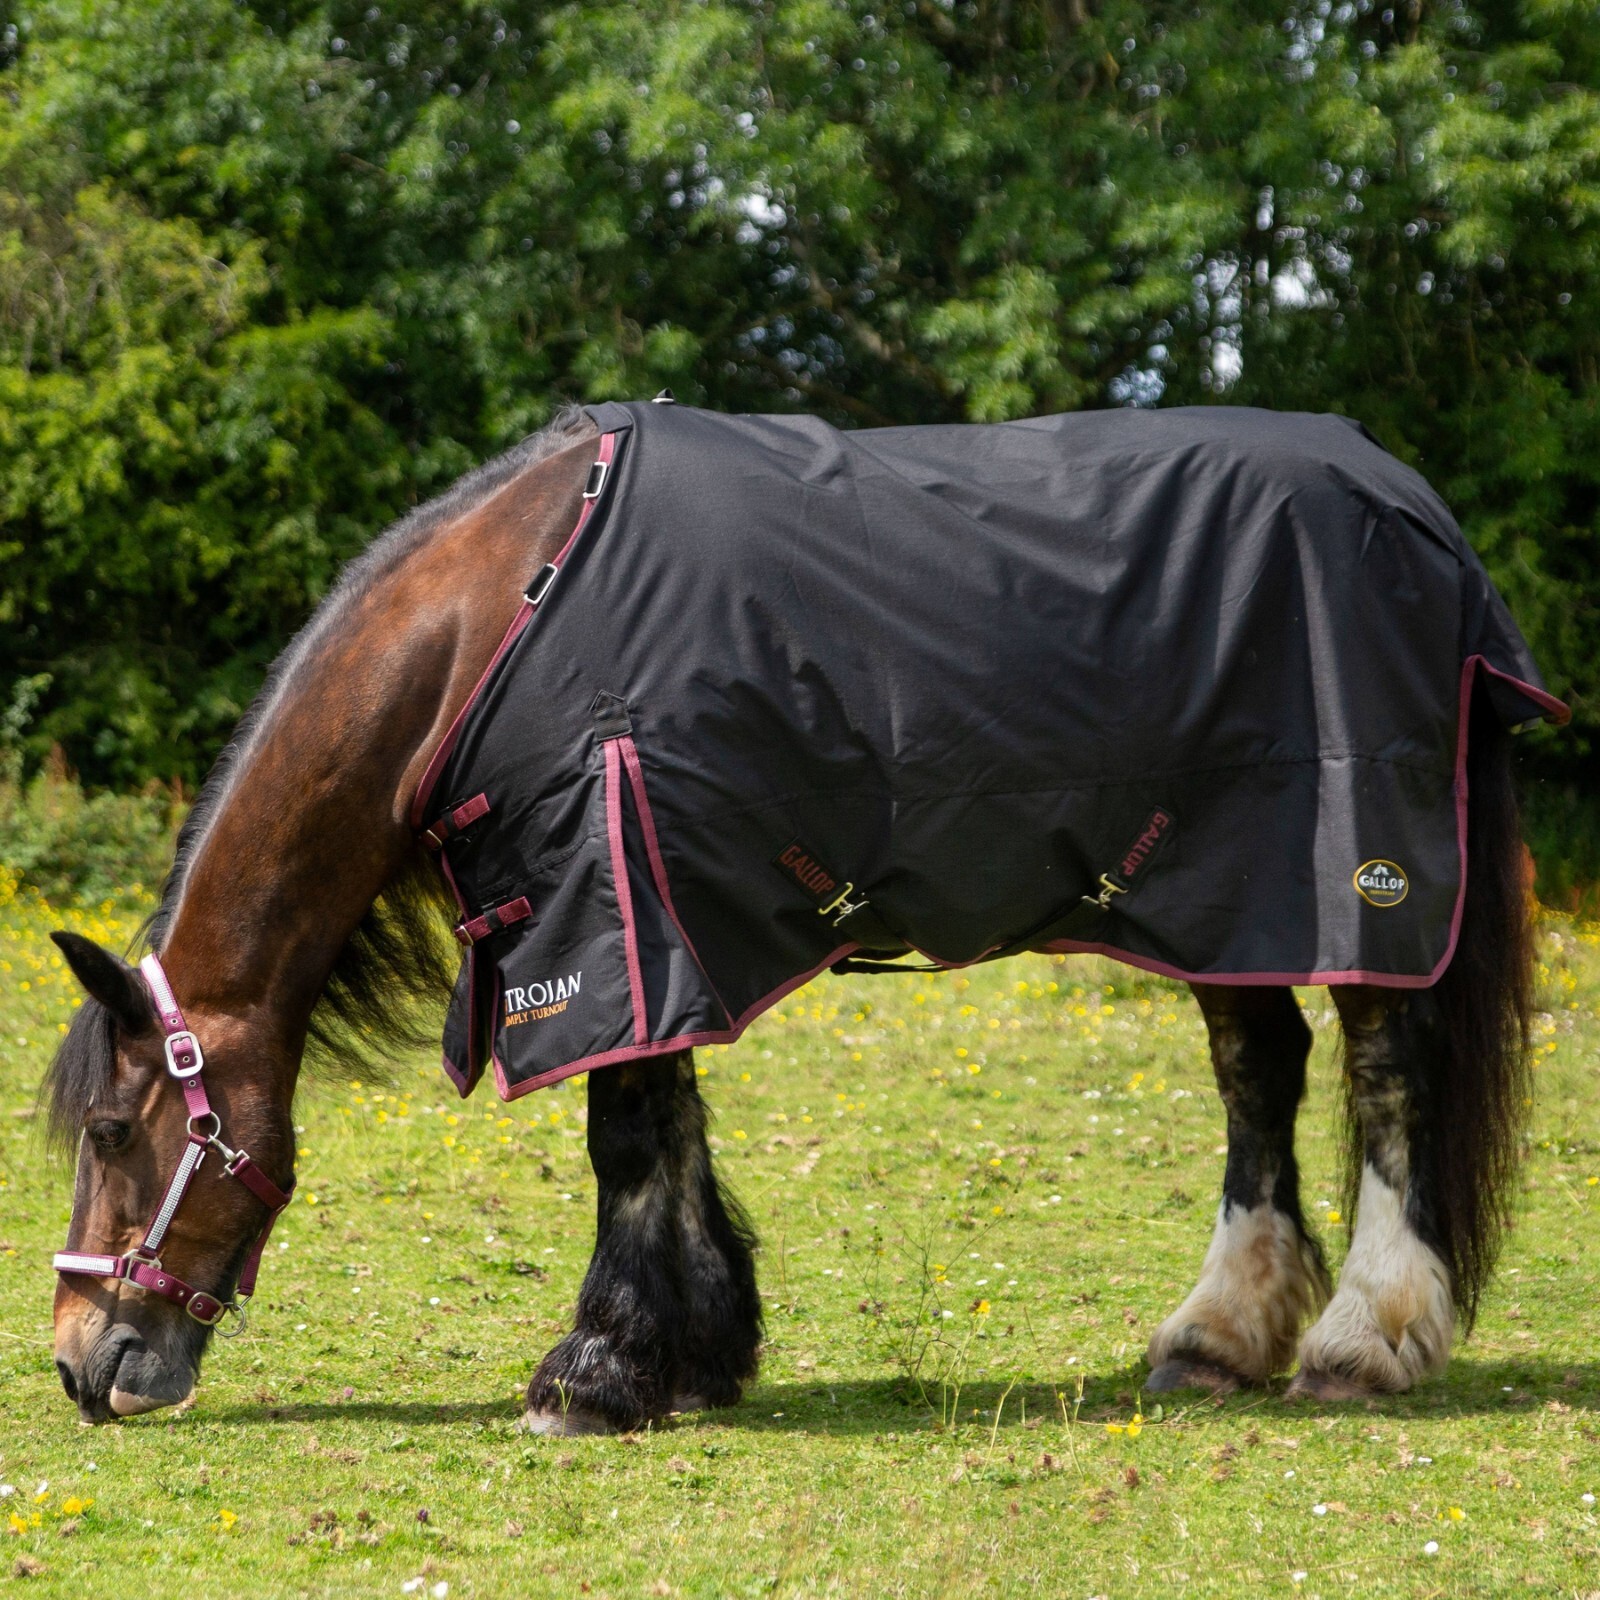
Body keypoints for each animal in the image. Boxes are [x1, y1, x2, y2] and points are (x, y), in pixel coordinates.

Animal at [41, 400, 1558, 1430]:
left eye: (114, 1132)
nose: (78, 1363)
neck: (501, 623)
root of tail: (1414, 513)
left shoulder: (607, 904)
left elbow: (626, 1136)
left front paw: (593, 1374)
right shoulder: (649, 910)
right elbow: (669, 1130)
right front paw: (694, 1350)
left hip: (1354, 876)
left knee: (1384, 1073)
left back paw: (1361, 1341)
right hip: (1217, 890)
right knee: (1258, 1069)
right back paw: (1216, 1339)